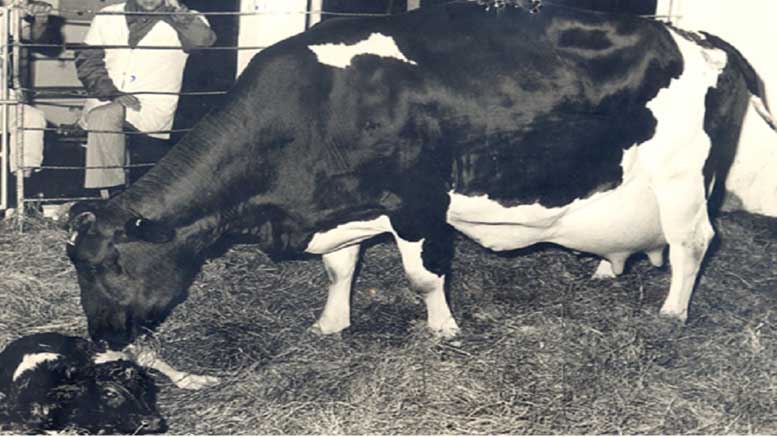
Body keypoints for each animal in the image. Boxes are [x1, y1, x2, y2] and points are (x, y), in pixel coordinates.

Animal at [65, 0, 776, 383]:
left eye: (111, 266)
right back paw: (608, 268)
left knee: (693, 243)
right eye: (78, 265)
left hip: (684, 177)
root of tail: (702, 39)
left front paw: (442, 330)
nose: (100, 339)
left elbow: (424, 276)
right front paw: (331, 323)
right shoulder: (342, 208)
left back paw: (673, 312)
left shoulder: (415, 203)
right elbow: (339, 269)